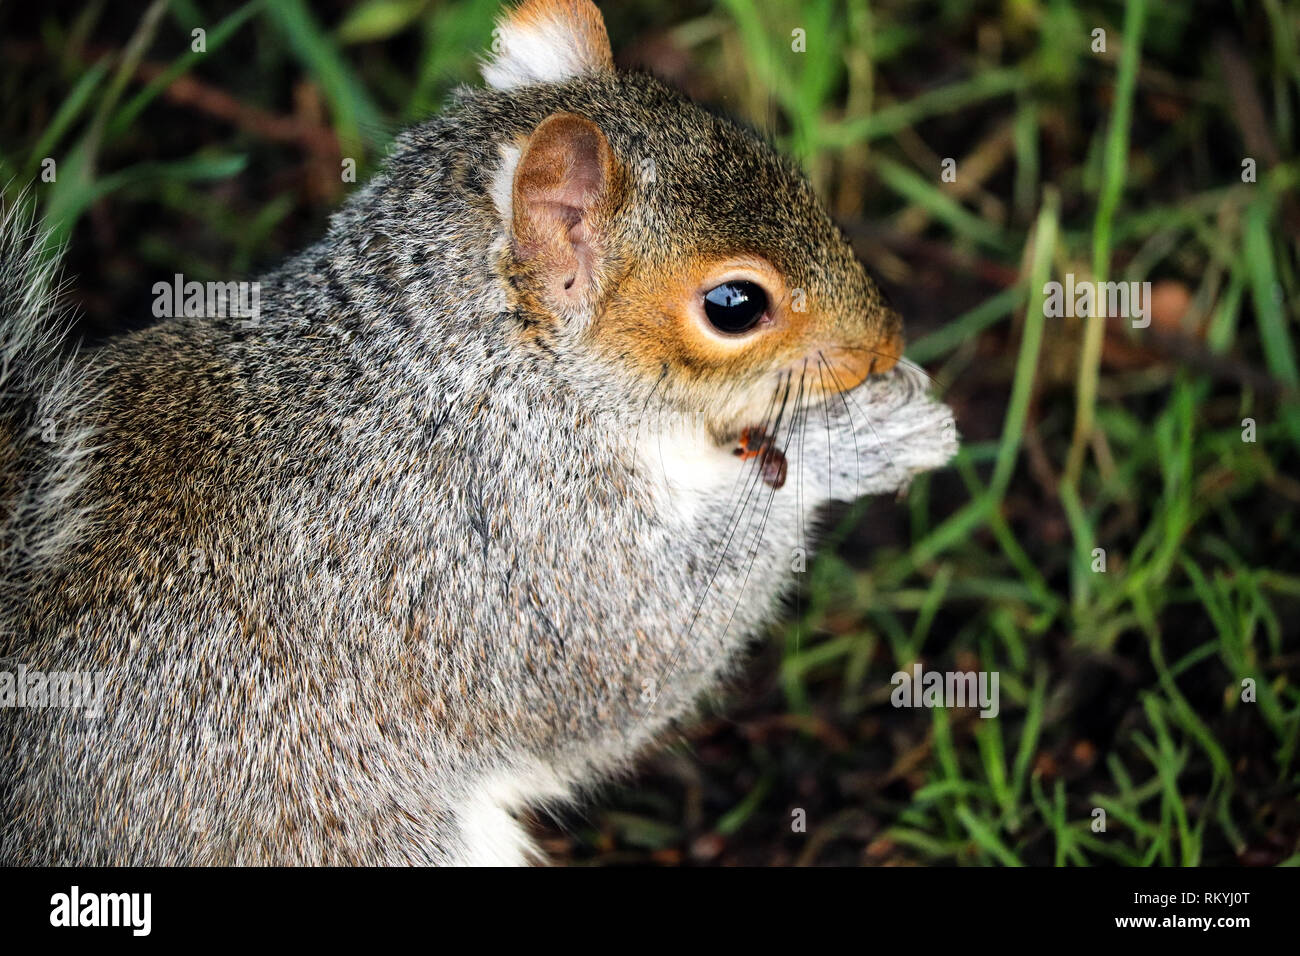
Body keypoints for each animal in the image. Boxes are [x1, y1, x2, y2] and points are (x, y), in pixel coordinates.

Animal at [0, 0, 956, 865]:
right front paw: (867, 438)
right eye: (735, 305)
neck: (484, 377)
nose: (886, 341)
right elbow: (640, 654)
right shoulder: (521, 561)